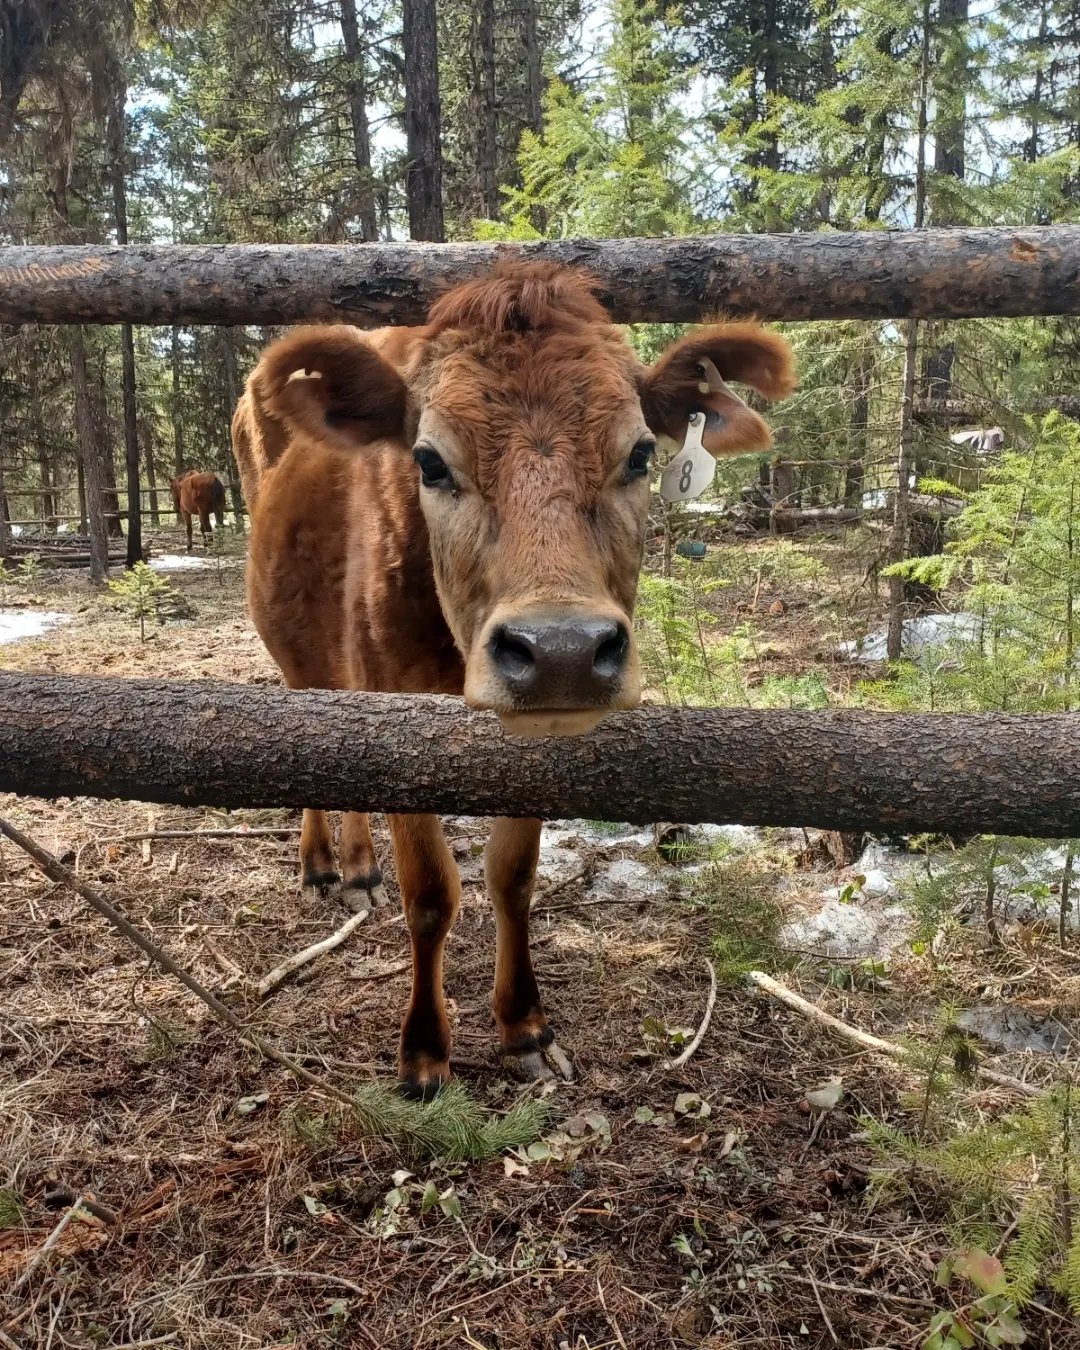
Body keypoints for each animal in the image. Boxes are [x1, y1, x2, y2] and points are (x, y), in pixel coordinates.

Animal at [232, 262, 795, 1097]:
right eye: (429, 460)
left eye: (639, 454)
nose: (562, 648)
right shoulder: (396, 716)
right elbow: (431, 893)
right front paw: (424, 1051)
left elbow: (513, 878)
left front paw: (523, 1024)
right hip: (301, 656)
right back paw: (326, 864)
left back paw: (358, 867)